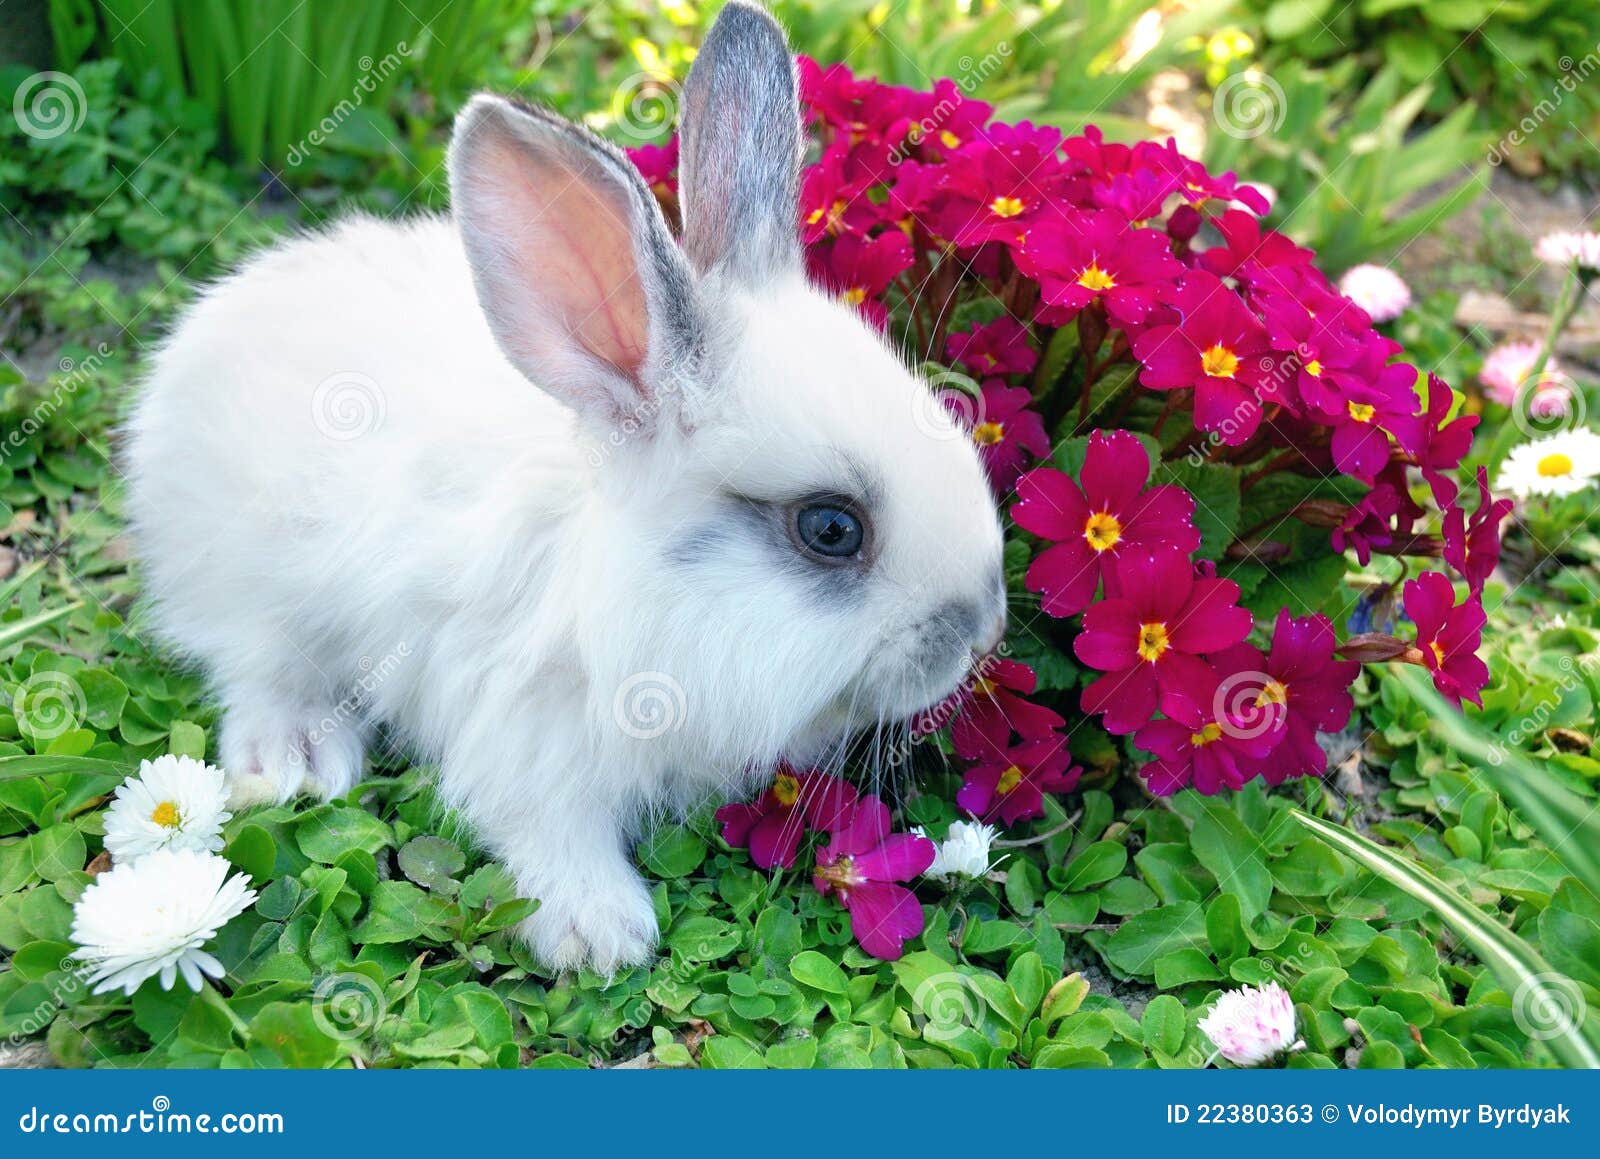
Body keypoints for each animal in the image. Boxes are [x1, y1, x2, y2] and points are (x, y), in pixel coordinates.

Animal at [123, 0, 1006, 973]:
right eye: (831, 529)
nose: (981, 631)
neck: (619, 583)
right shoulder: (522, 734)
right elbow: (542, 828)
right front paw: (603, 933)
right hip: (252, 588)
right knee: (251, 664)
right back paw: (295, 759)